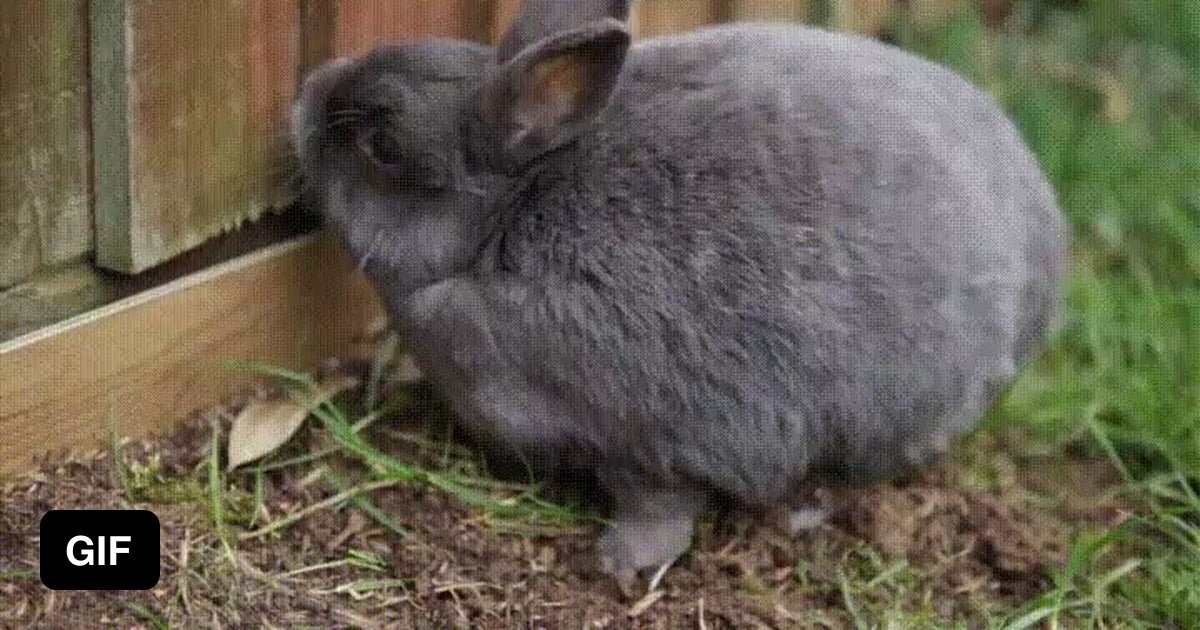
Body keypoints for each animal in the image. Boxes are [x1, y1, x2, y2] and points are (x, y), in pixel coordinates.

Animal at [291, 0, 1067, 583]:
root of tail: (1046, 244)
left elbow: (660, 504)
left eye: (382, 146)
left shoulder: (660, 439)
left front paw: (621, 564)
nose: (302, 96)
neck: (507, 222)